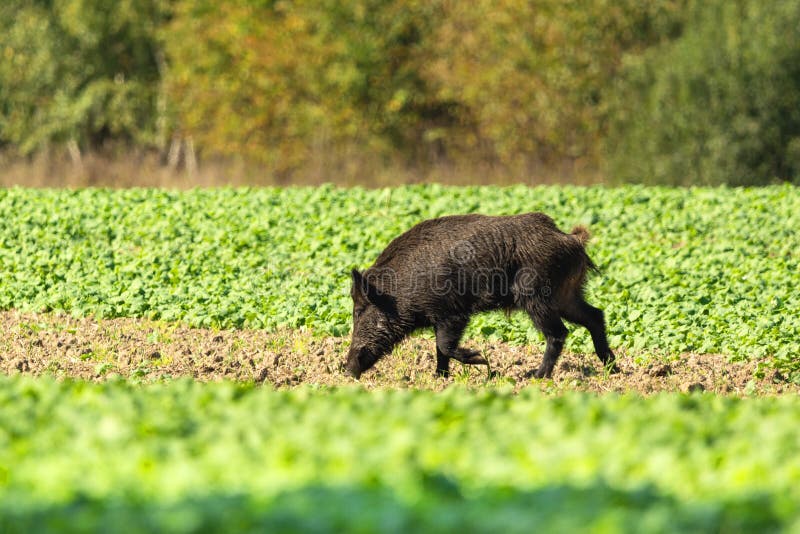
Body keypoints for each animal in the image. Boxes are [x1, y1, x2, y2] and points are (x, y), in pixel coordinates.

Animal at [345, 212, 617, 379]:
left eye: (359, 311)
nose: (348, 370)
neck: (398, 293)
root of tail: (572, 239)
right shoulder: (440, 317)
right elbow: (439, 349)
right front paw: (439, 377)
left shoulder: (453, 313)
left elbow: (444, 345)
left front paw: (482, 361)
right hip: (566, 295)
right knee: (595, 316)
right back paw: (612, 367)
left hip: (536, 295)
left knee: (559, 333)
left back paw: (536, 376)